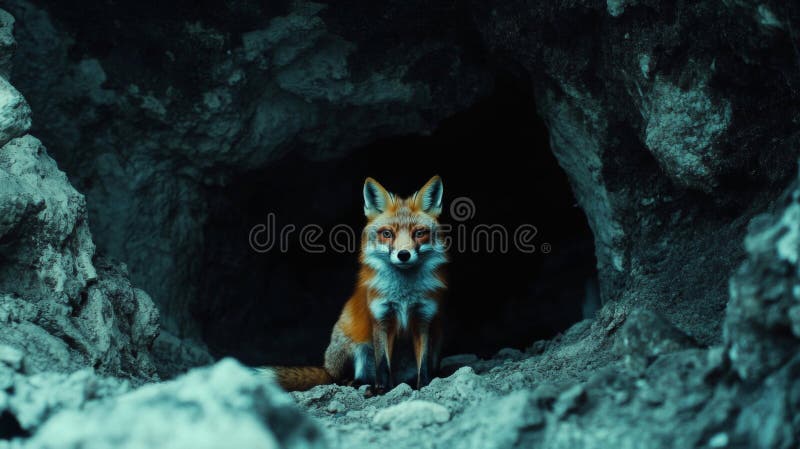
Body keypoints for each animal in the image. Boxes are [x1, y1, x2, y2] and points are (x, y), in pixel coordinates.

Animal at [260, 175, 448, 394]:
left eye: (419, 233)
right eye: (387, 234)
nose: (403, 255)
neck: (403, 295)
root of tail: (327, 367)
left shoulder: (423, 320)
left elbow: (423, 363)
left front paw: (424, 386)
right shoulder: (381, 319)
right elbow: (383, 364)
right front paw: (383, 389)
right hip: (354, 347)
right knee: (341, 380)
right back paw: (360, 385)